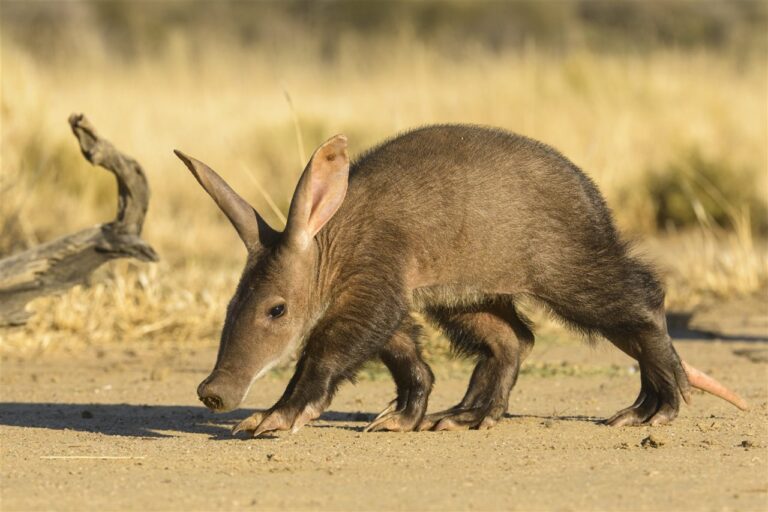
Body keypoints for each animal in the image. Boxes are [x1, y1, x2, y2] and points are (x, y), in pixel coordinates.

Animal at [174, 125, 747, 437]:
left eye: (277, 310)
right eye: (229, 307)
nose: (213, 394)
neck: (332, 244)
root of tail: (595, 201)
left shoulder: (376, 273)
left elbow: (335, 348)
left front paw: (272, 417)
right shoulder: (390, 288)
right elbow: (401, 349)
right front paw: (404, 416)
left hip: (565, 263)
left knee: (640, 303)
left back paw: (655, 409)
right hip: (465, 292)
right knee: (513, 338)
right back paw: (466, 416)